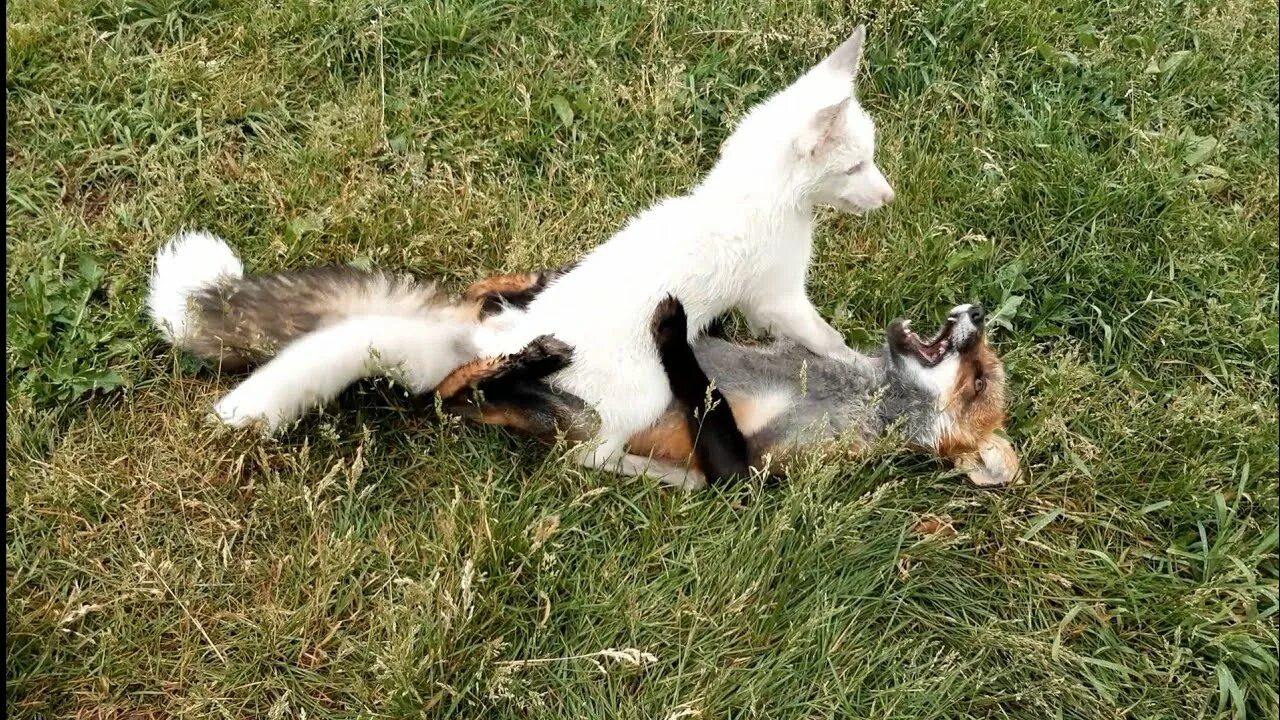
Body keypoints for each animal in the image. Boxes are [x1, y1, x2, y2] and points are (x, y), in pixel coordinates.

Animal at [148, 239, 1018, 489]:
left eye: (979, 380)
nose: (973, 313)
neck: (846, 393)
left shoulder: (747, 479)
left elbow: (702, 396)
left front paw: (672, 331)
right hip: (511, 332)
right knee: (481, 303)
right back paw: (517, 294)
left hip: (565, 425)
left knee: (452, 399)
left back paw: (505, 364)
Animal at [152, 25, 896, 479]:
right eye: (856, 166)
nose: (888, 197)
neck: (750, 199)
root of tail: (505, 335)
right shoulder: (780, 298)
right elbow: (826, 339)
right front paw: (869, 367)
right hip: (643, 392)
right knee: (584, 457)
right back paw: (658, 475)